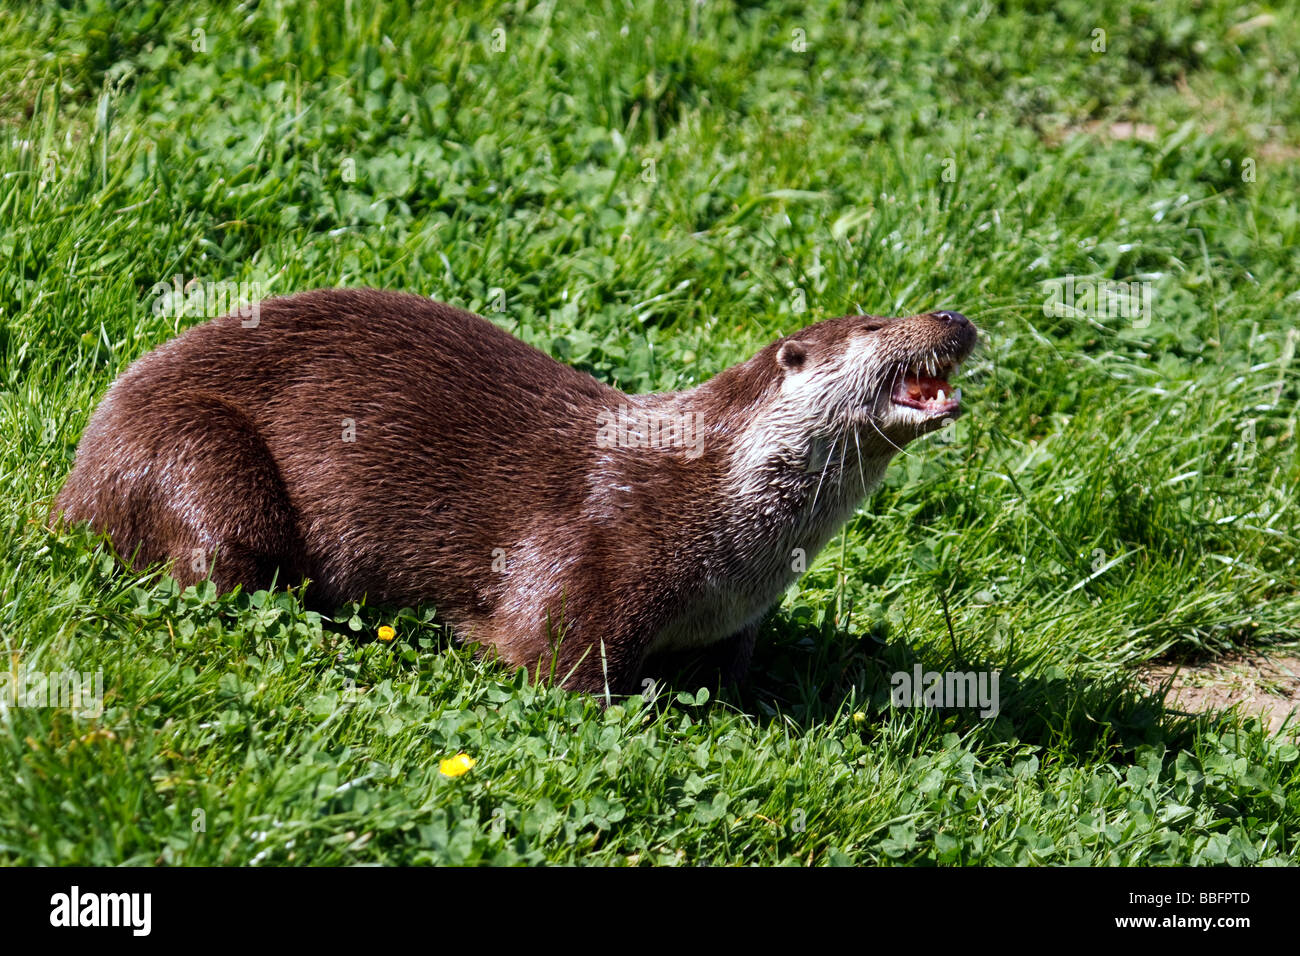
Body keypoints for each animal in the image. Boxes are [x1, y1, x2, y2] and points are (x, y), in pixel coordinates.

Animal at [52, 289, 977, 694]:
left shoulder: (739, 620)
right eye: (875, 323)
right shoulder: (595, 554)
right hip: (195, 450)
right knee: (213, 569)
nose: (954, 318)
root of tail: (75, 480)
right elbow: (552, 660)